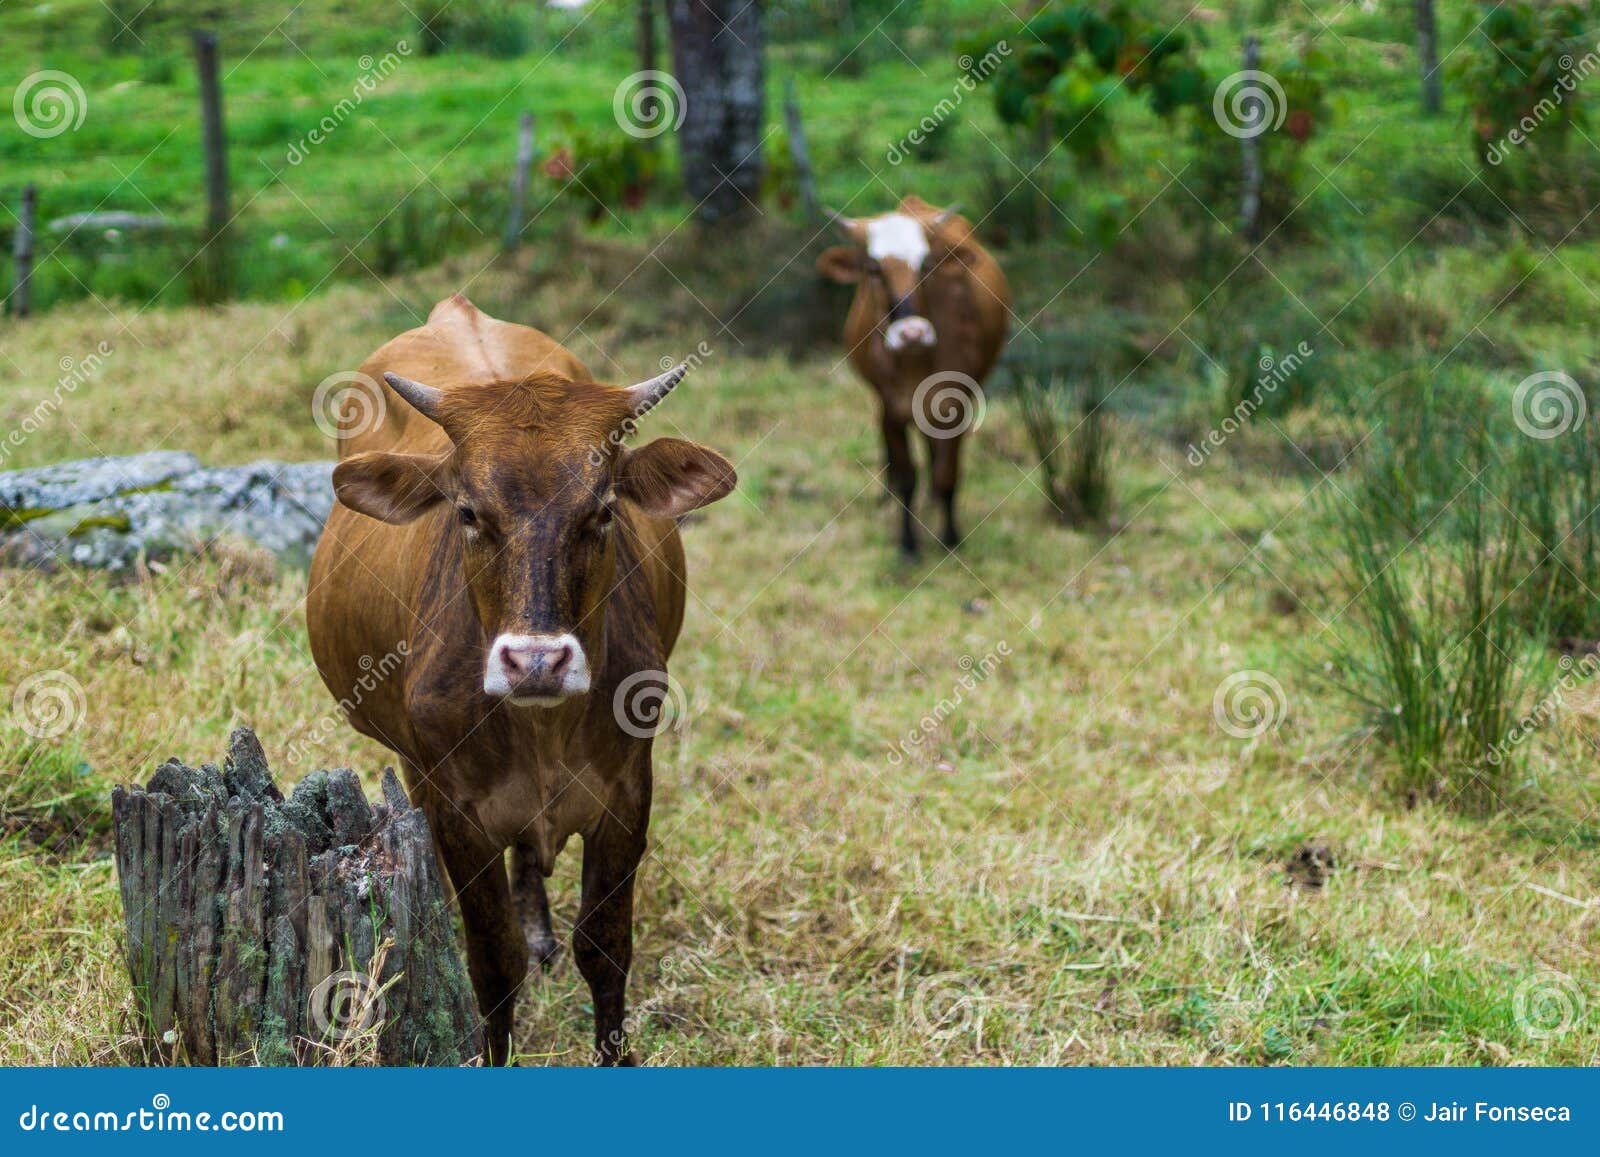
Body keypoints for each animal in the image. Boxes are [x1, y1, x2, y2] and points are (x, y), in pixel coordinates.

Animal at [306, 294, 736, 1065]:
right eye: (468, 512)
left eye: (603, 509)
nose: (537, 660)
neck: (543, 727)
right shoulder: (457, 808)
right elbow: (491, 955)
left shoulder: (629, 793)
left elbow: (605, 944)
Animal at [816, 195, 1010, 558]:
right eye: (874, 269)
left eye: (925, 266)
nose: (912, 332)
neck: (914, 362)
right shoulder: (891, 407)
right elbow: (907, 475)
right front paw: (907, 544)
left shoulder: (956, 405)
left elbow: (948, 474)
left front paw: (950, 537)